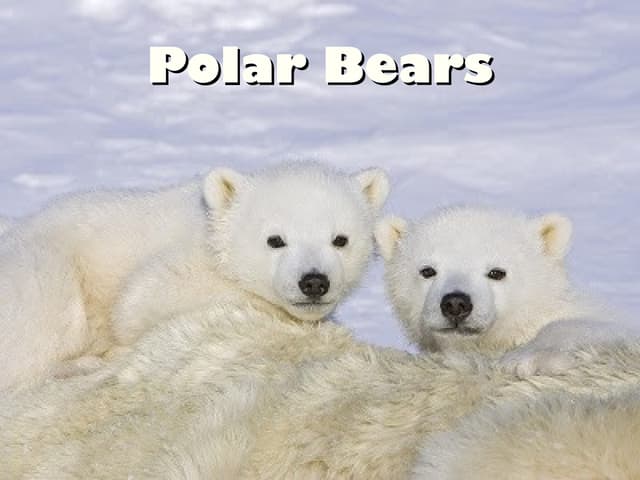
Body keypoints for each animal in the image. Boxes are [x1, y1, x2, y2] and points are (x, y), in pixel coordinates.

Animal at [0, 162, 389, 391]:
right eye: (275, 240)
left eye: (340, 239)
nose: (314, 282)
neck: (213, 229)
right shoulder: (180, 264)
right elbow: (141, 302)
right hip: (44, 267)